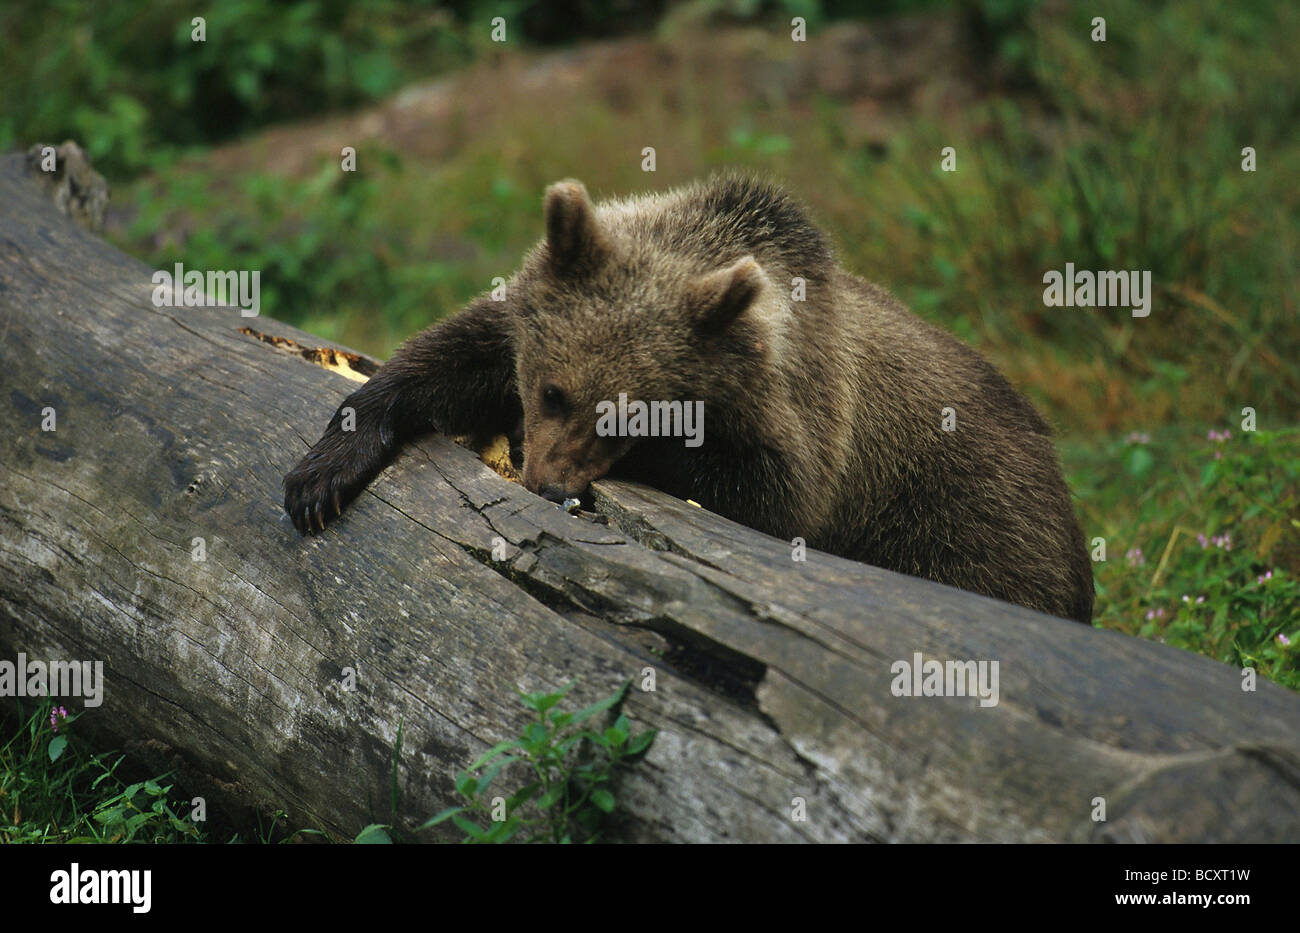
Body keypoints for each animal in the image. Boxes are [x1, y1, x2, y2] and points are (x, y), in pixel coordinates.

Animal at [283, 173, 1095, 624]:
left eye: (630, 417)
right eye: (552, 390)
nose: (546, 483)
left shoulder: (800, 427)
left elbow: (764, 496)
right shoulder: (517, 327)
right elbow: (438, 359)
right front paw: (319, 478)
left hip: (967, 524)